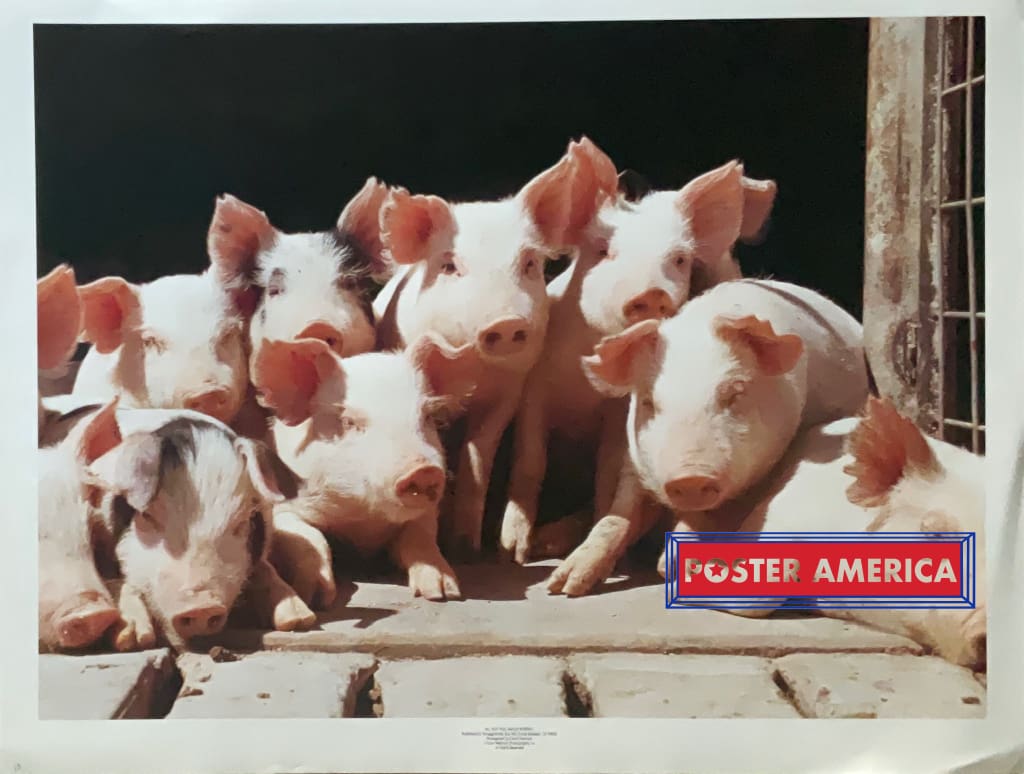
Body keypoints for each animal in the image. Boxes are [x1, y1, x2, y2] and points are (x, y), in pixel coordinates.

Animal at [80, 406, 315, 650]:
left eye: (242, 521)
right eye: (147, 515)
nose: (202, 608)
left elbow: (264, 568)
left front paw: (299, 621)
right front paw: (133, 641)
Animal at [251, 335, 483, 602]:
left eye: (426, 418)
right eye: (348, 422)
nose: (423, 469)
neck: (363, 520)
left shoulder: (427, 513)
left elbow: (420, 537)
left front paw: (444, 593)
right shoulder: (283, 510)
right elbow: (311, 539)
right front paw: (316, 596)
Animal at [373, 142, 610, 557]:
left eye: (529, 262)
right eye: (449, 266)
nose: (506, 323)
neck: (473, 371)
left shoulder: (508, 394)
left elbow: (478, 460)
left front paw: (471, 548)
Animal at [500, 141, 778, 562]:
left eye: (679, 259)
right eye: (603, 250)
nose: (651, 293)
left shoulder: (619, 414)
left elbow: (609, 474)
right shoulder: (535, 386)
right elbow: (530, 459)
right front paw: (515, 552)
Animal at [546, 278, 868, 596]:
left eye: (735, 392)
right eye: (649, 402)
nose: (690, 477)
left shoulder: (771, 457)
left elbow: (717, 513)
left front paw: (668, 567)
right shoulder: (635, 460)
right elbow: (620, 513)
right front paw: (564, 587)